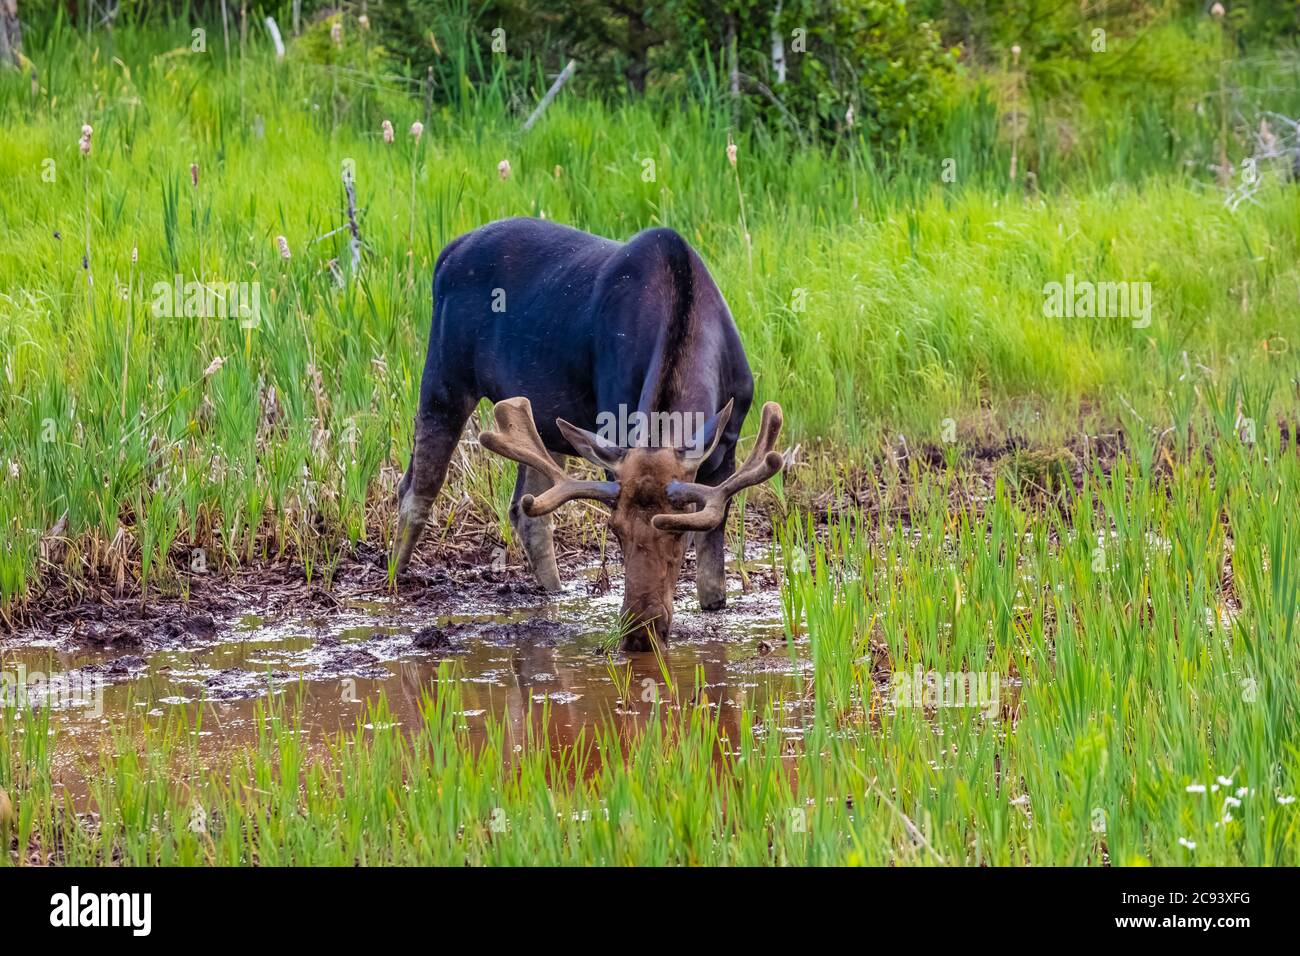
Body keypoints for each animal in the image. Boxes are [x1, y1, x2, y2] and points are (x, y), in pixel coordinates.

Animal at [393, 217, 785, 651]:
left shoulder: (727, 447)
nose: (640, 630)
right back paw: (395, 583)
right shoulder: (614, 427)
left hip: (538, 417)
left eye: (681, 532)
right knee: (416, 489)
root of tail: (447, 253)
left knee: (525, 508)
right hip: (444, 375)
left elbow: (712, 588)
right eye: (615, 531)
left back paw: (554, 593)